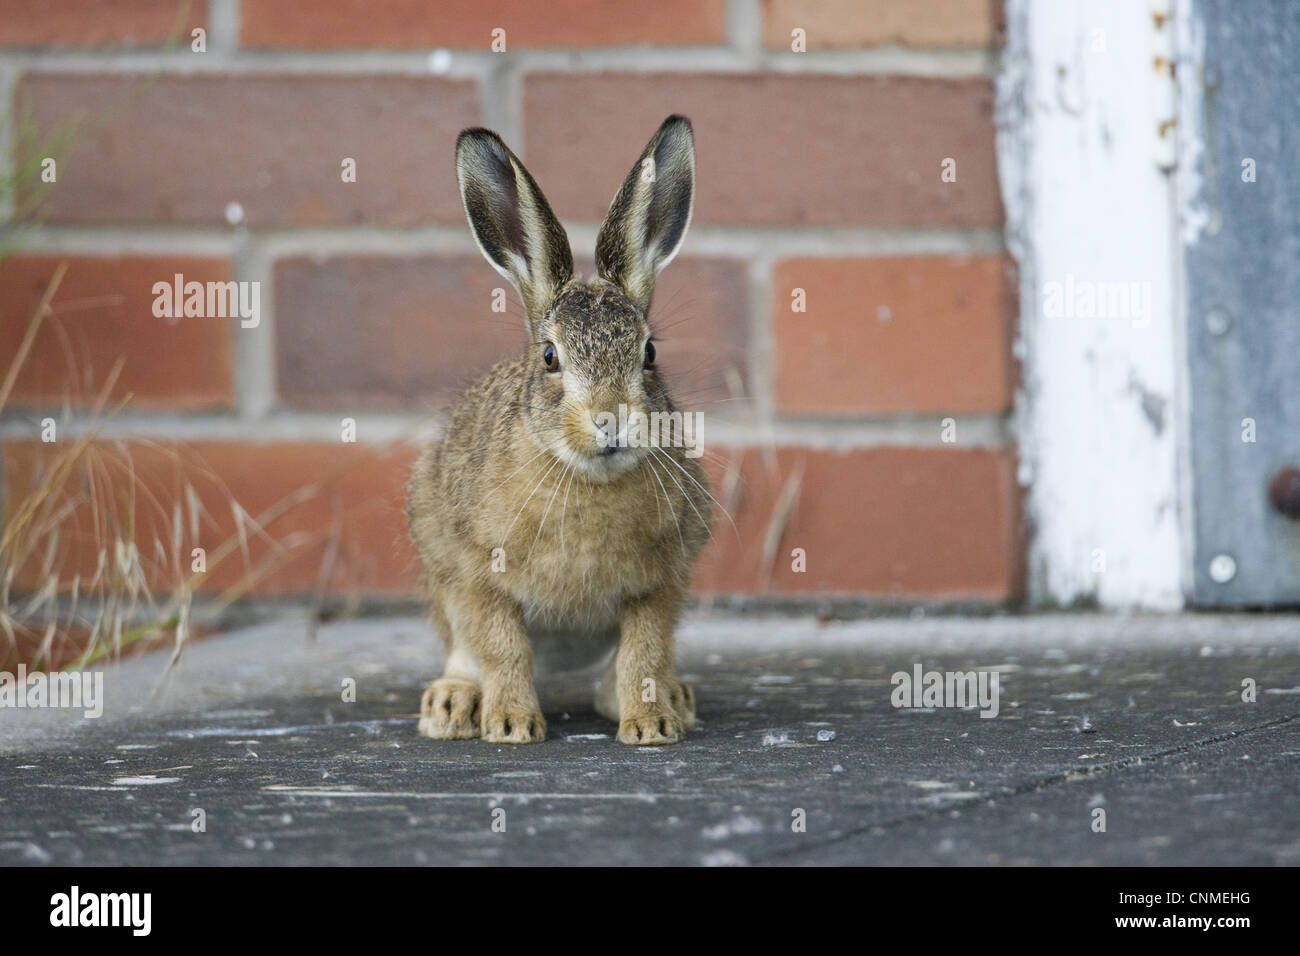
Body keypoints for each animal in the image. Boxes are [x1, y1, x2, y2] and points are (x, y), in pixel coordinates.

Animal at [406, 115, 712, 746]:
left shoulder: (658, 585)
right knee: (464, 650)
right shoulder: (481, 576)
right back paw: (451, 705)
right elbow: (503, 650)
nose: (610, 418)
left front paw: (651, 727)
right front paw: (511, 725)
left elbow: (643, 654)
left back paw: (673, 698)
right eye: (550, 357)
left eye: (649, 353)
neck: (588, 481)